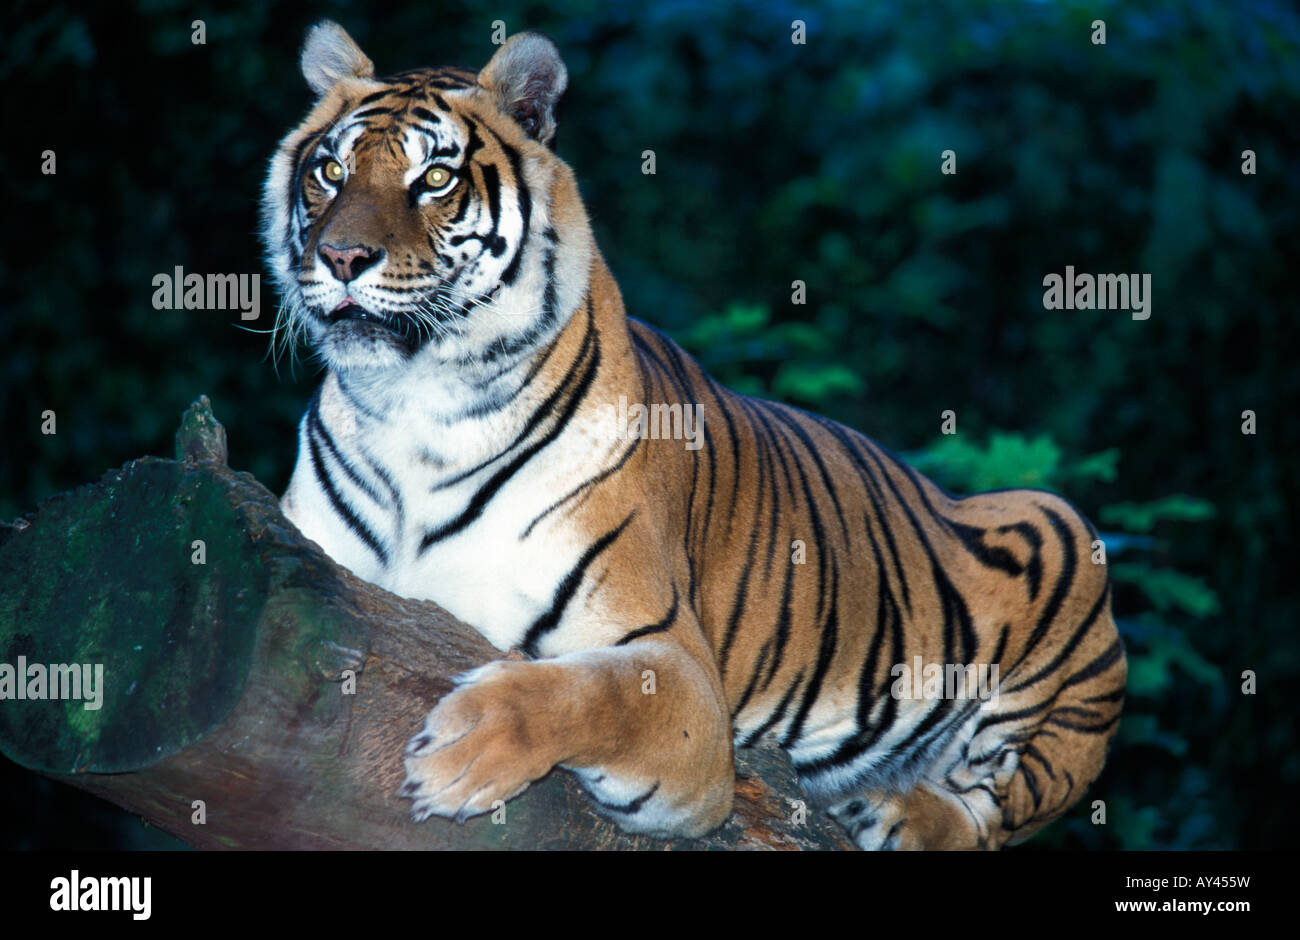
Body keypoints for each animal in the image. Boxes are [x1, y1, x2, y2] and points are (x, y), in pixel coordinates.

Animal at [261, 20, 1126, 850]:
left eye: (435, 179)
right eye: (329, 172)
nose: (341, 256)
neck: (413, 404)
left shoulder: (678, 674)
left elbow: (589, 692)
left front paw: (462, 750)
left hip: (1061, 532)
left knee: (988, 813)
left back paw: (895, 812)